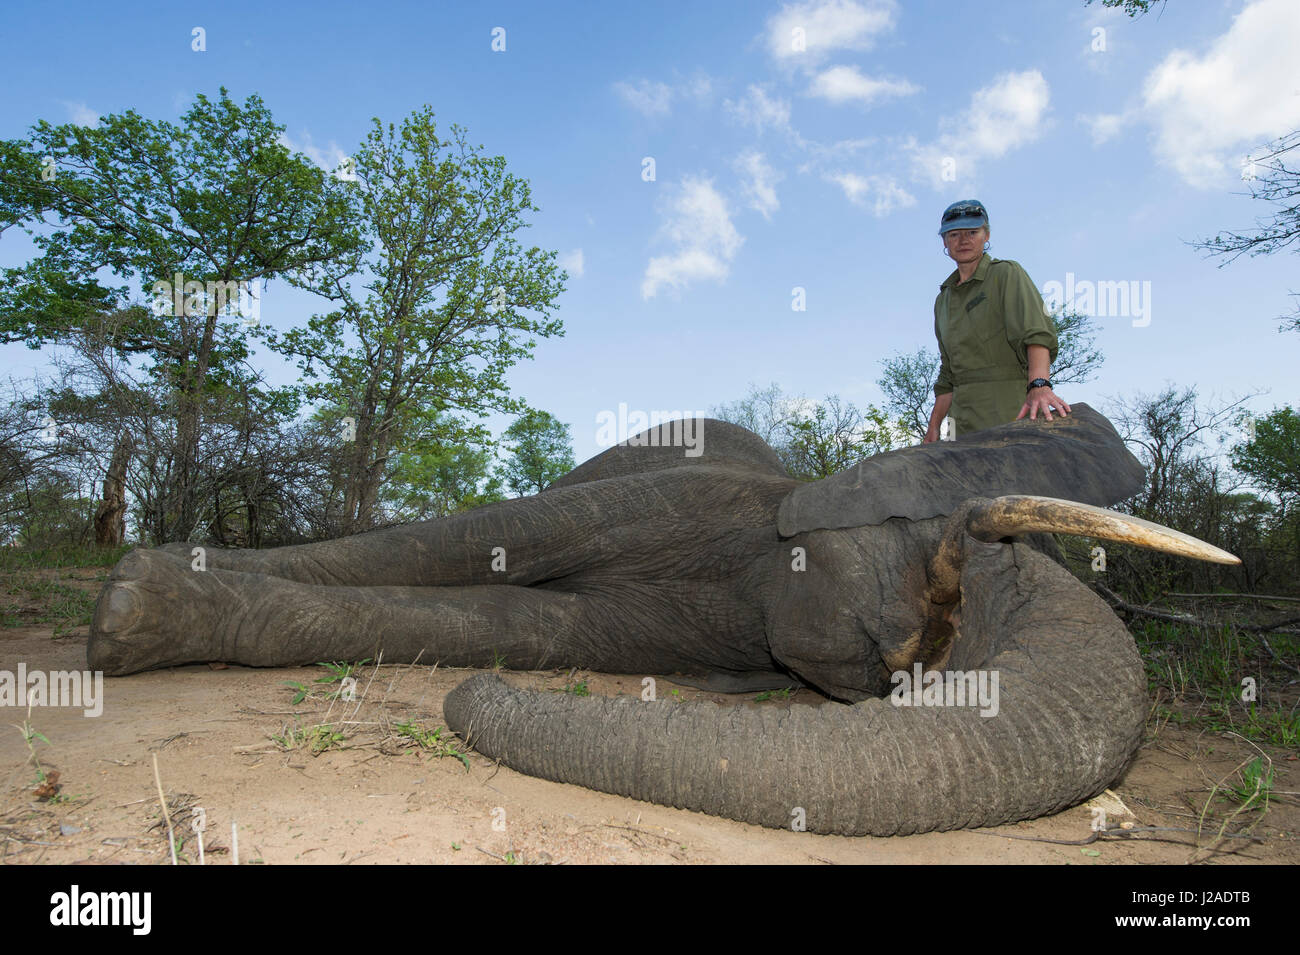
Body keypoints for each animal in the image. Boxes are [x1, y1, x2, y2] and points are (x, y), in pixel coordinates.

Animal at [87, 404, 1236, 836]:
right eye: (939, 551)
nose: (911, 654)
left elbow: (521, 622)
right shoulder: (699, 497)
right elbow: (480, 535)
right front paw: (126, 609)